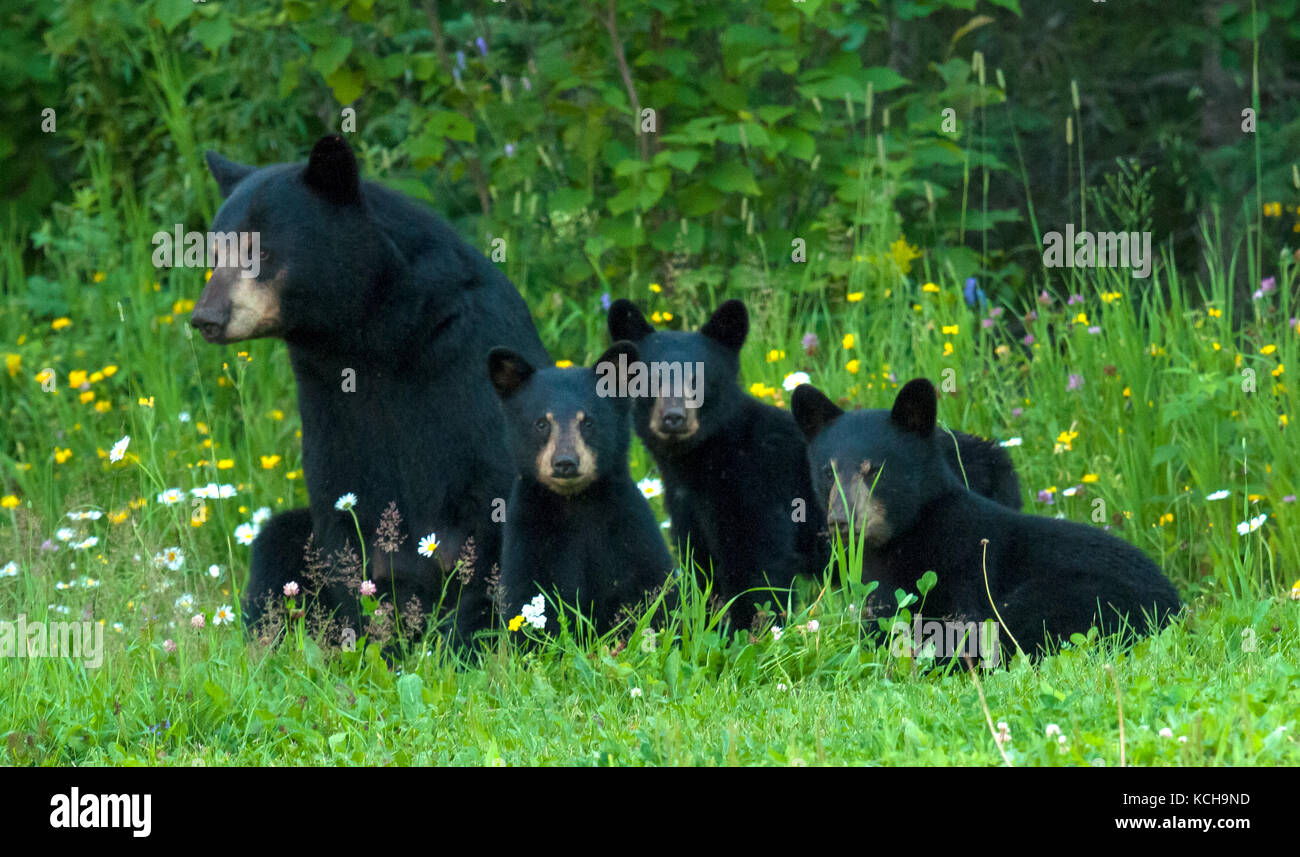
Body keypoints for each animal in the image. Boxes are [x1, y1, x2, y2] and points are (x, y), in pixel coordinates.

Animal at [191, 134, 550, 647]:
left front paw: (460, 640)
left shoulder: (469, 359)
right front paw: (363, 640)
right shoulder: (324, 394)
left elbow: (491, 492)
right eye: (215, 254)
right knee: (277, 540)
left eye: (259, 252)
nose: (207, 317)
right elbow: (339, 505)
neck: (370, 333)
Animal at [488, 341, 675, 635]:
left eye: (588, 421)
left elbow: (653, 591)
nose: (565, 462)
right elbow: (526, 596)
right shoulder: (527, 537)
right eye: (541, 423)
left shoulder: (631, 529)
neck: (575, 503)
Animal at [606, 298, 825, 632]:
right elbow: (703, 568)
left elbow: (757, 568)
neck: (700, 459)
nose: (673, 418)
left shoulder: (759, 485)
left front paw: (750, 633)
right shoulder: (688, 509)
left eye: (697, 380)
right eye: (650, 379)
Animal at [791, 378, 1181, 660]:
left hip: (1083, 595)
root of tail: (1176, 610)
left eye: (876, 470)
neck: (908, 537)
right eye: (828, 471)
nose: (841, 520)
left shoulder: (963, 570)